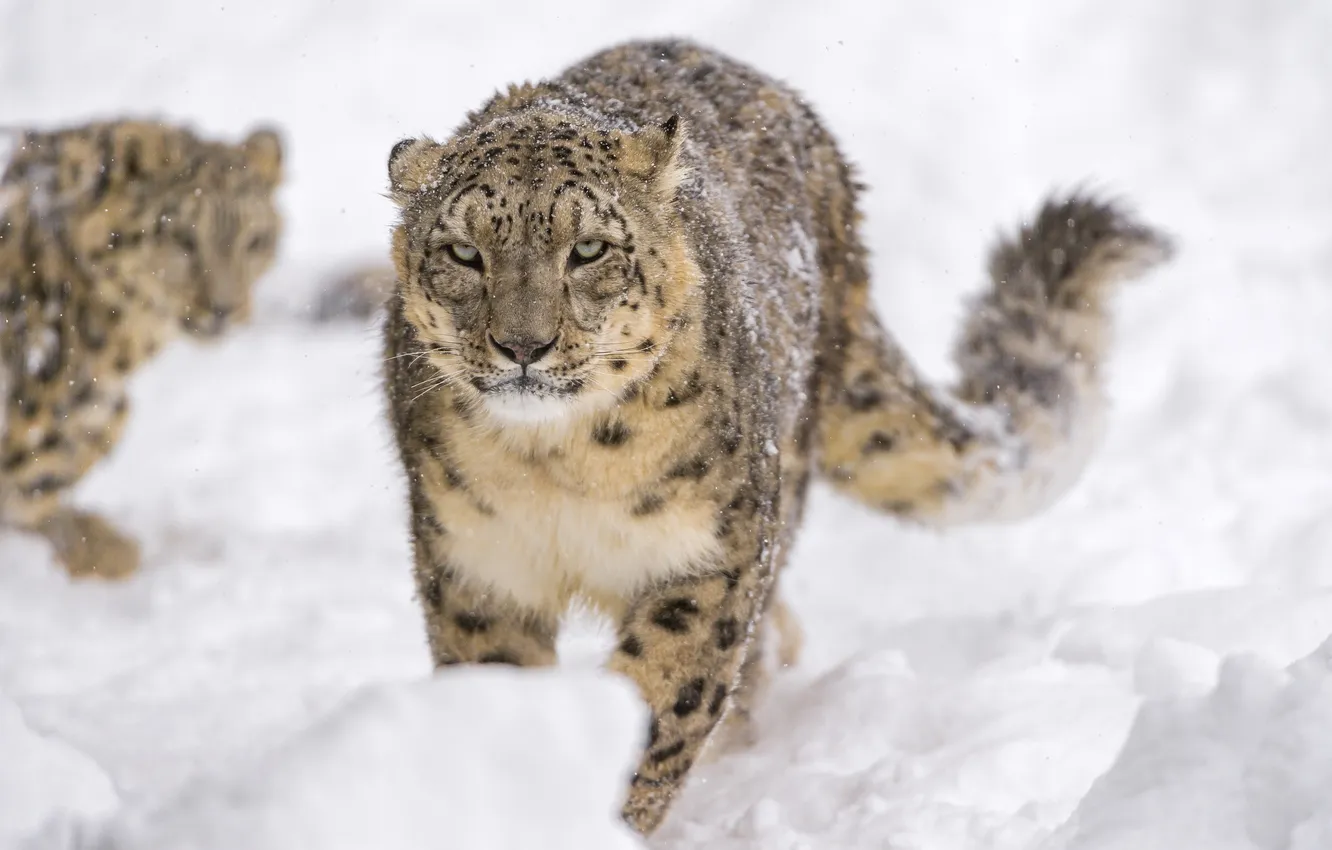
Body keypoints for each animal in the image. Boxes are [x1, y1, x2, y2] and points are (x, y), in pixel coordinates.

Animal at [382, 39, 1172, 834]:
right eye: (463, 253)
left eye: (589, 250)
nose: (524, 345)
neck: (555, 464)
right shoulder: (482, 567)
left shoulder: (707, 557)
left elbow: (661, 699)